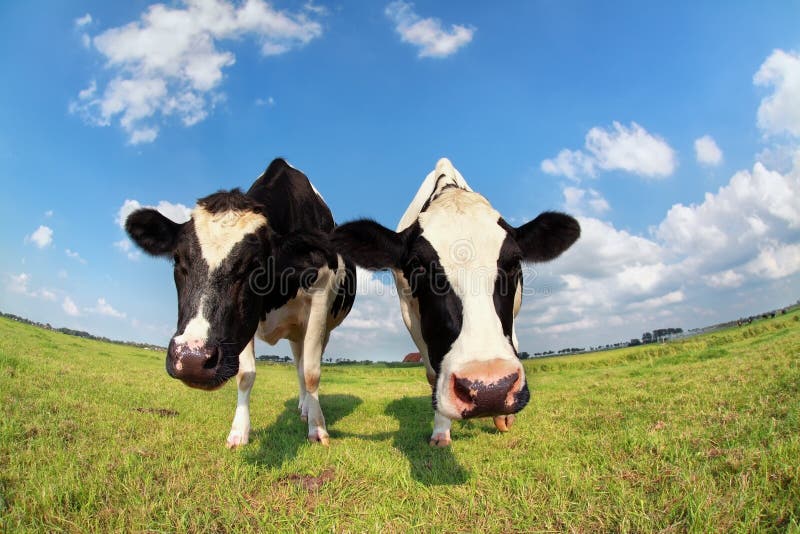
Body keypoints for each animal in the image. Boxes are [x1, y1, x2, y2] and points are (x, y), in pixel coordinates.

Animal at [125, 158, 356, 448]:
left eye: (255, 265)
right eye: (177, 259)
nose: (191, 360)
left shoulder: (320, 300)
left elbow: (312, 372)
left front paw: (318, 429)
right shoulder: (243, 323)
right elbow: (246, 375)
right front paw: (239, 432)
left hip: (321, 328)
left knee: (306, 366)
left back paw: (307, 410)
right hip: (294, 333)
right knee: (297, 363)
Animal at [333, 158, 579, 446]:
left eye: (515, 261)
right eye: (417, 265)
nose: (490, 390)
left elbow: (513, 343)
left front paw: (503, 418)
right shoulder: (411, 317)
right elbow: (432, 371)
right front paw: (440, 431)